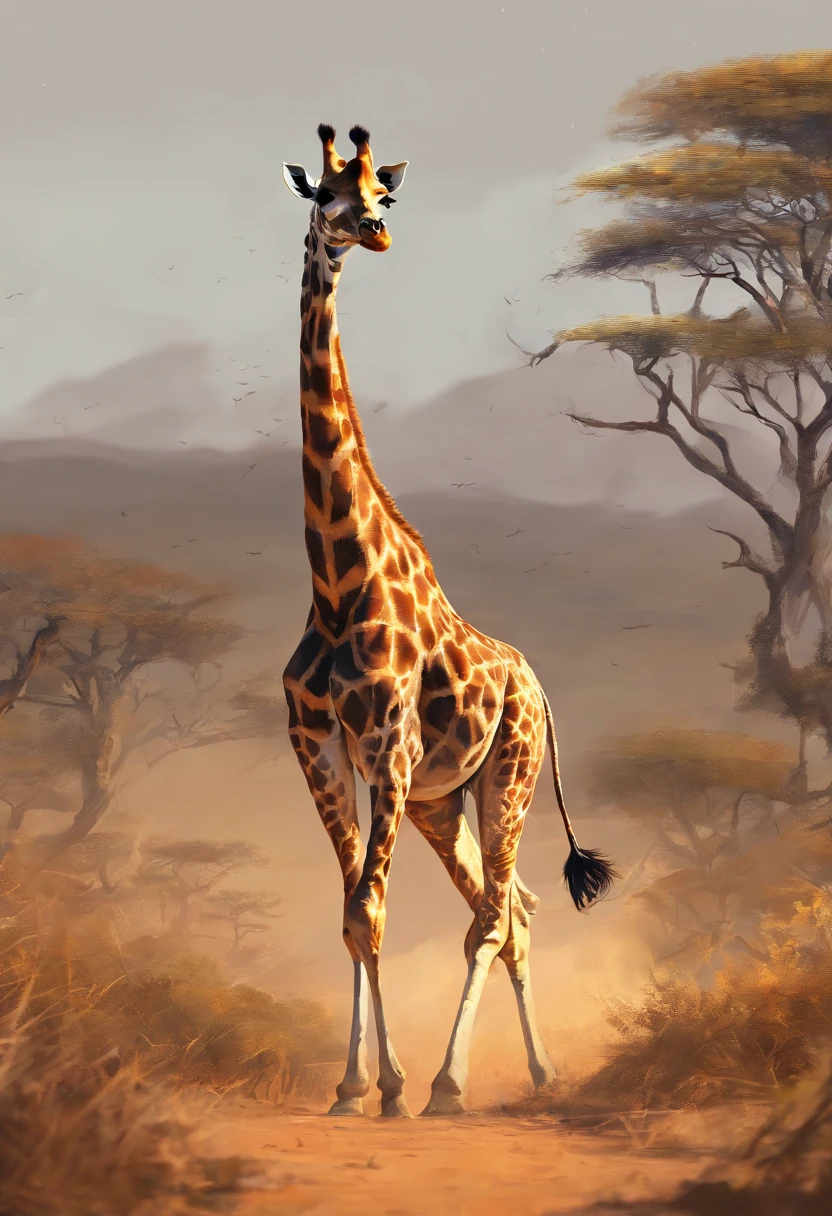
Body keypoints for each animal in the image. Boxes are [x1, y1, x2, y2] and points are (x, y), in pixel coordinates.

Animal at [281, 123, 617, 1118]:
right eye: (323, 194)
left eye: (384, 197)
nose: (373, 234)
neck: (337, 583)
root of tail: (538, 688)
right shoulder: (321, 750)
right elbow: (351, 913)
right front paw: (353, 1084)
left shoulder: (386, 750)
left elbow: (370, 909)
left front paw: (392, 1085)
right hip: (444, 800)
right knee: (512, 912)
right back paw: (534, 1073)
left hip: (509, 774)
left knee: (494, 919)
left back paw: (453, 1083)